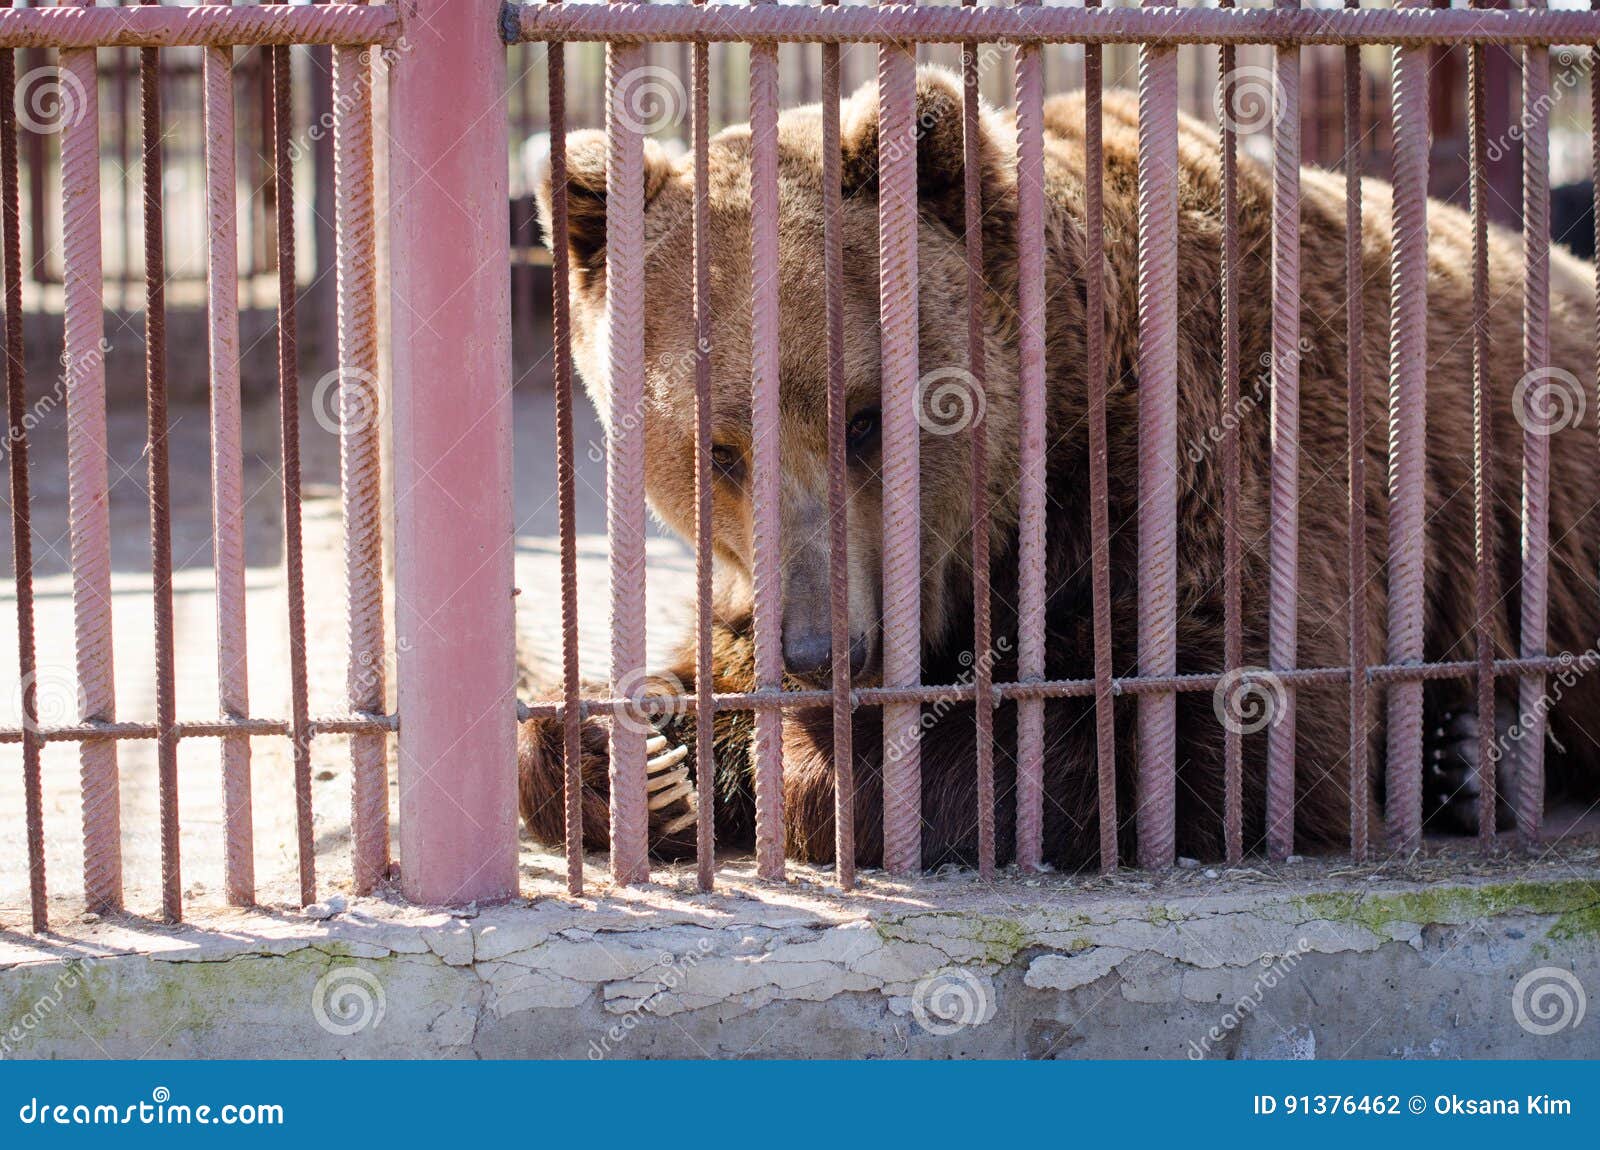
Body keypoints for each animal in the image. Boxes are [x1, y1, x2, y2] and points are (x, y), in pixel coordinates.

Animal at [521, 66, 1600, 870]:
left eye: (866, 420)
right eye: (719, 450)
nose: (822, 648)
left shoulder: (1210, 468)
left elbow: (1224, 718)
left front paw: (812, 767)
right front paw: (632, 754)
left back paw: (1474, 761)